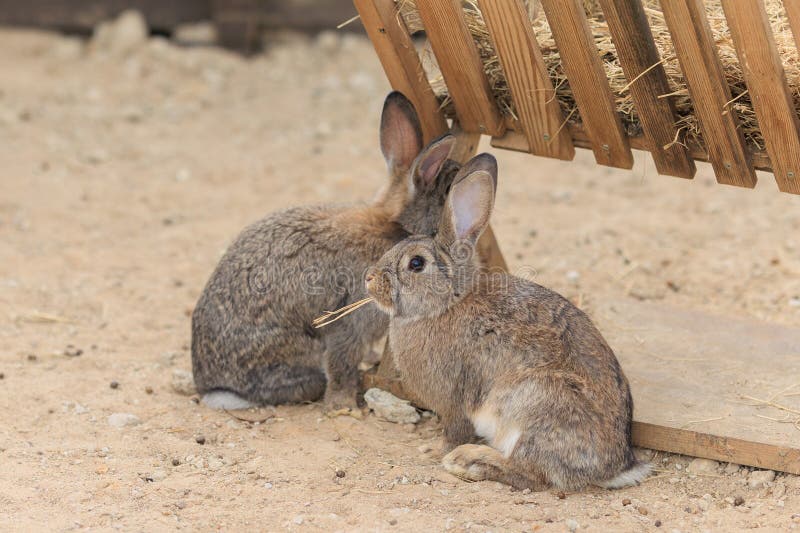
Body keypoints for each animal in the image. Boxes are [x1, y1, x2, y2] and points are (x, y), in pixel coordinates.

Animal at [191, 91, 463, 412]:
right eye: (447, 192)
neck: (395, 225)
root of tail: (213, 387)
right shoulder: (353, 315)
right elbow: (343, 358)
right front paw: (344, 406)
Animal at [364, 153, 650, 491]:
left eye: (416, 263)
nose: (369, 279)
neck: (446, 304)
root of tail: (615, 467)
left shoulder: (455, 402)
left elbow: (453, 431)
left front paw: (437, 451)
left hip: (531, 406)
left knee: (529, 473)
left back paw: (468, 461)